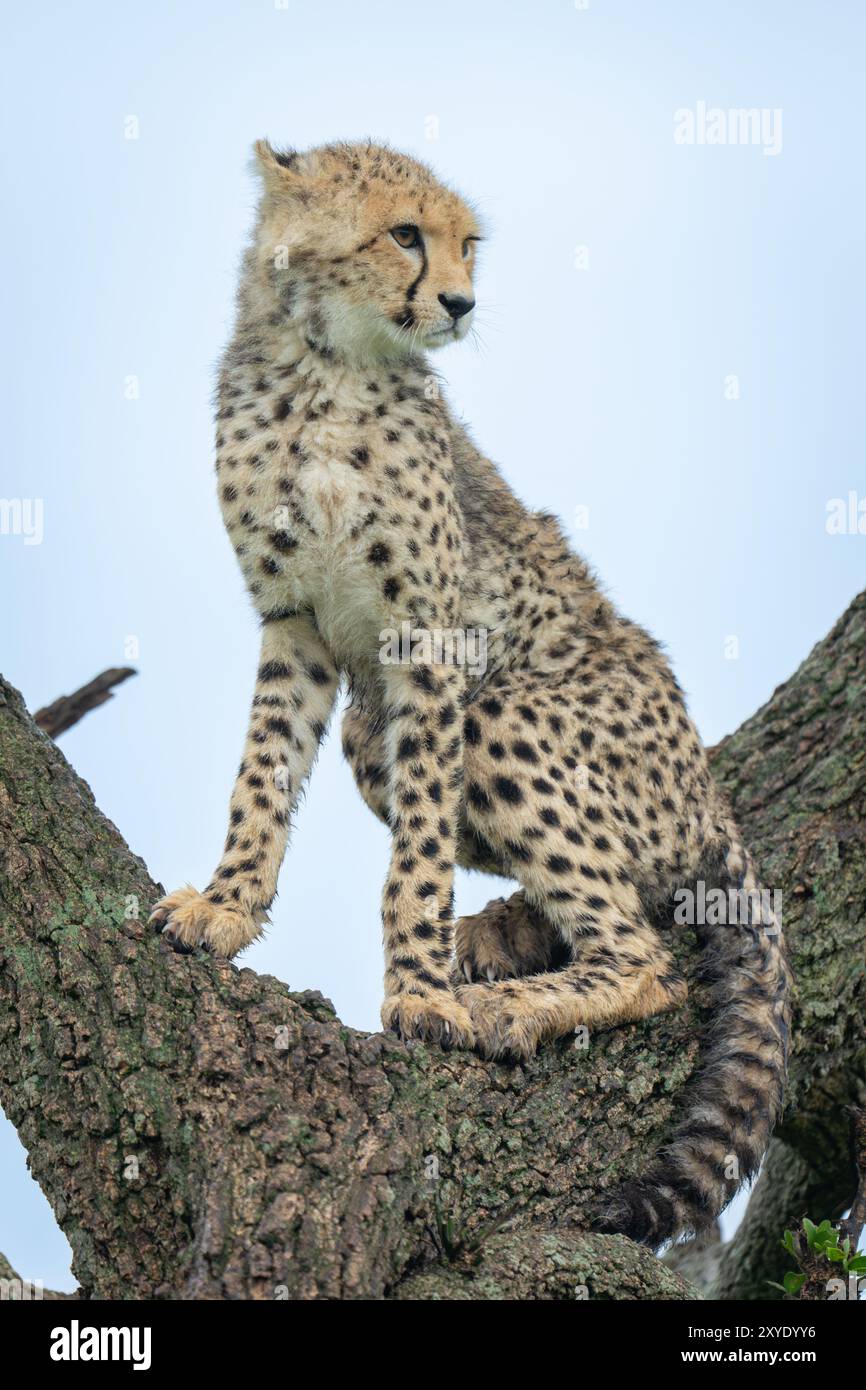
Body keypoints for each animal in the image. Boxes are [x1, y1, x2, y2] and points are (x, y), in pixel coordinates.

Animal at [150, 139, 791, 1245]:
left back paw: (506, 997)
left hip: (508, 718)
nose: (460, 301)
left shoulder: (429, 645)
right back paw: (505, 935)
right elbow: (260, 781)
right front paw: (226, 907)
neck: (327, 369)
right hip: (371, 735)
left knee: (645, 956)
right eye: (406, 234)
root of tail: (710, 795)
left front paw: (418, 994)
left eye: (466, 244)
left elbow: (415, 858)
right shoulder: (295, 623)